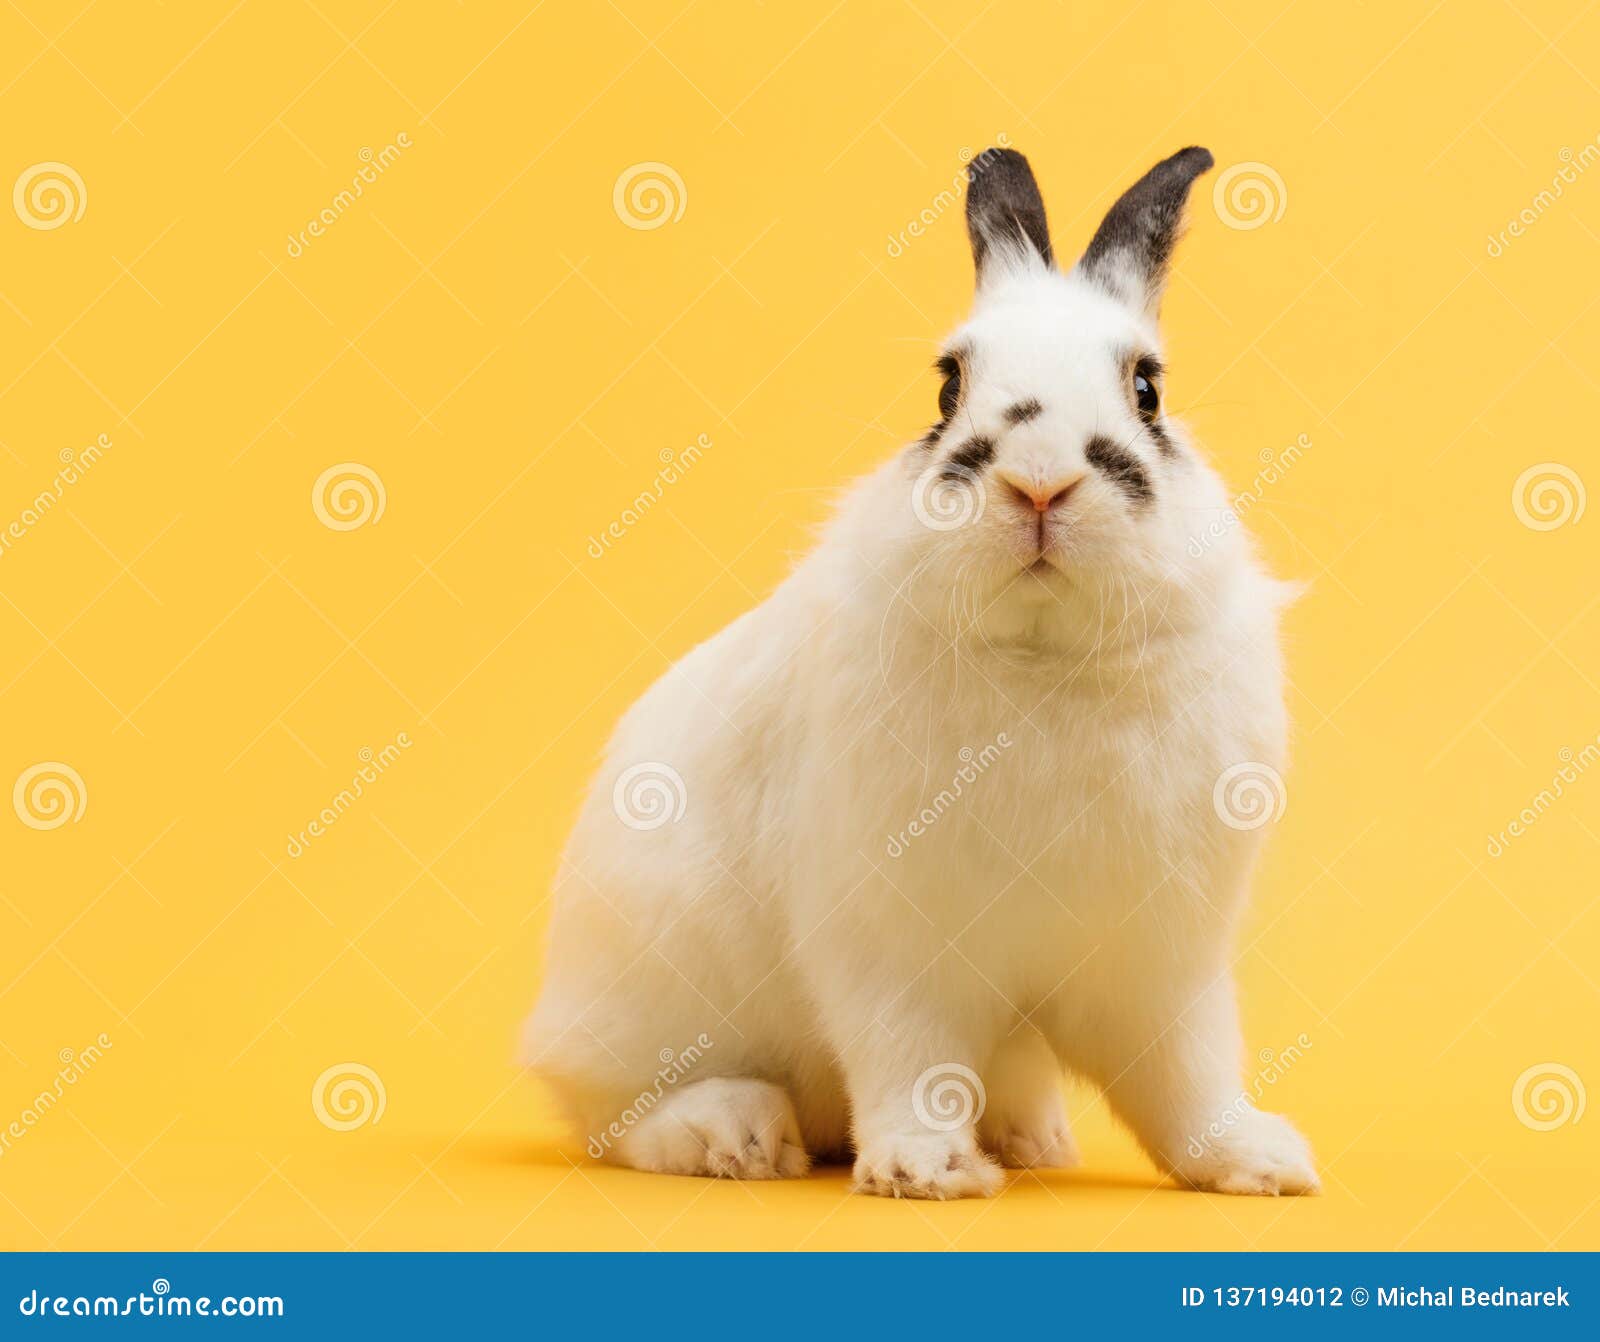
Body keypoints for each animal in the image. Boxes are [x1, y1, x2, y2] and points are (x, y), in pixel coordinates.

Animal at [523, 145, 1318, 1200]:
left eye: (1147, 390)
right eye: (947, 389)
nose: (1037, 483)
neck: (1042, 661)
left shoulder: (1160, 964)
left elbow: (1187, 1079)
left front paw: (1259, 1161)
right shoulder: (891, 950)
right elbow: (912, 1061)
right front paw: (926, 1169)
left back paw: (1030, 1137)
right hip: (641, 993)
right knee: (613, 1116)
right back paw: (734, 1136)